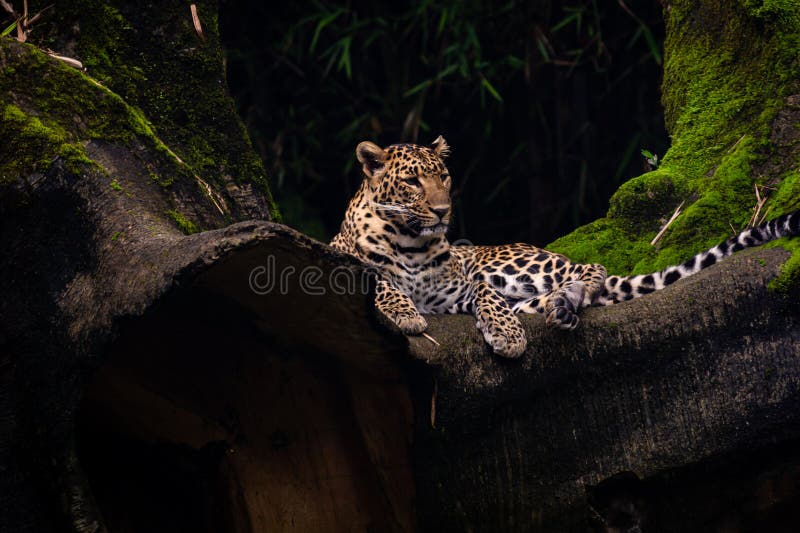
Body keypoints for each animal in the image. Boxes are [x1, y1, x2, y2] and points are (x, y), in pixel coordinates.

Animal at [330, 136, 800, 358]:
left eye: (443, 176)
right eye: (412, 181)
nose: (443, 211)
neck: (410, 240)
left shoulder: (462, 286)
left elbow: (486, 296)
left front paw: (506, 336)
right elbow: (379, 279)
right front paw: (405, 313)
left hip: (514, 264)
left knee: (588, 270)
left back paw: (568, 298)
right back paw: (557, 308)